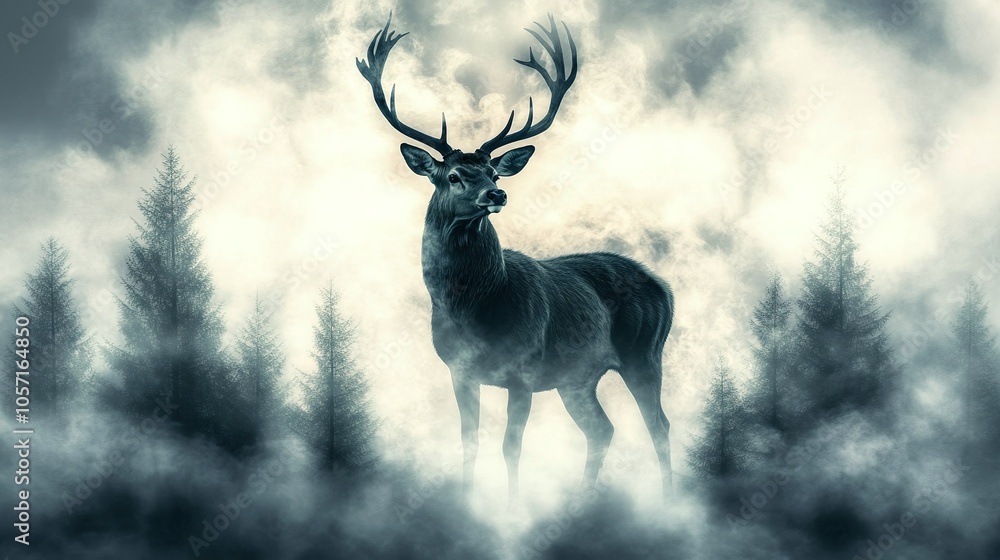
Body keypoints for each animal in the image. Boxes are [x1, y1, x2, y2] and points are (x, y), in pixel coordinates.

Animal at [357, 13, 675, 502]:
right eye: (453, 175)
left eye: (492, 172)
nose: (497, 193)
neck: (475, 306)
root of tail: (665, 287)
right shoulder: (459, 370)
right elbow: (469, 440)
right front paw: (467, 501)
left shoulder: (523, 368)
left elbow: (511, 446)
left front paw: (511, 507)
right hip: (577, 376)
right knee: (602, 429)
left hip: (645, 353)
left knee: (659, 425)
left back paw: (670, 500)